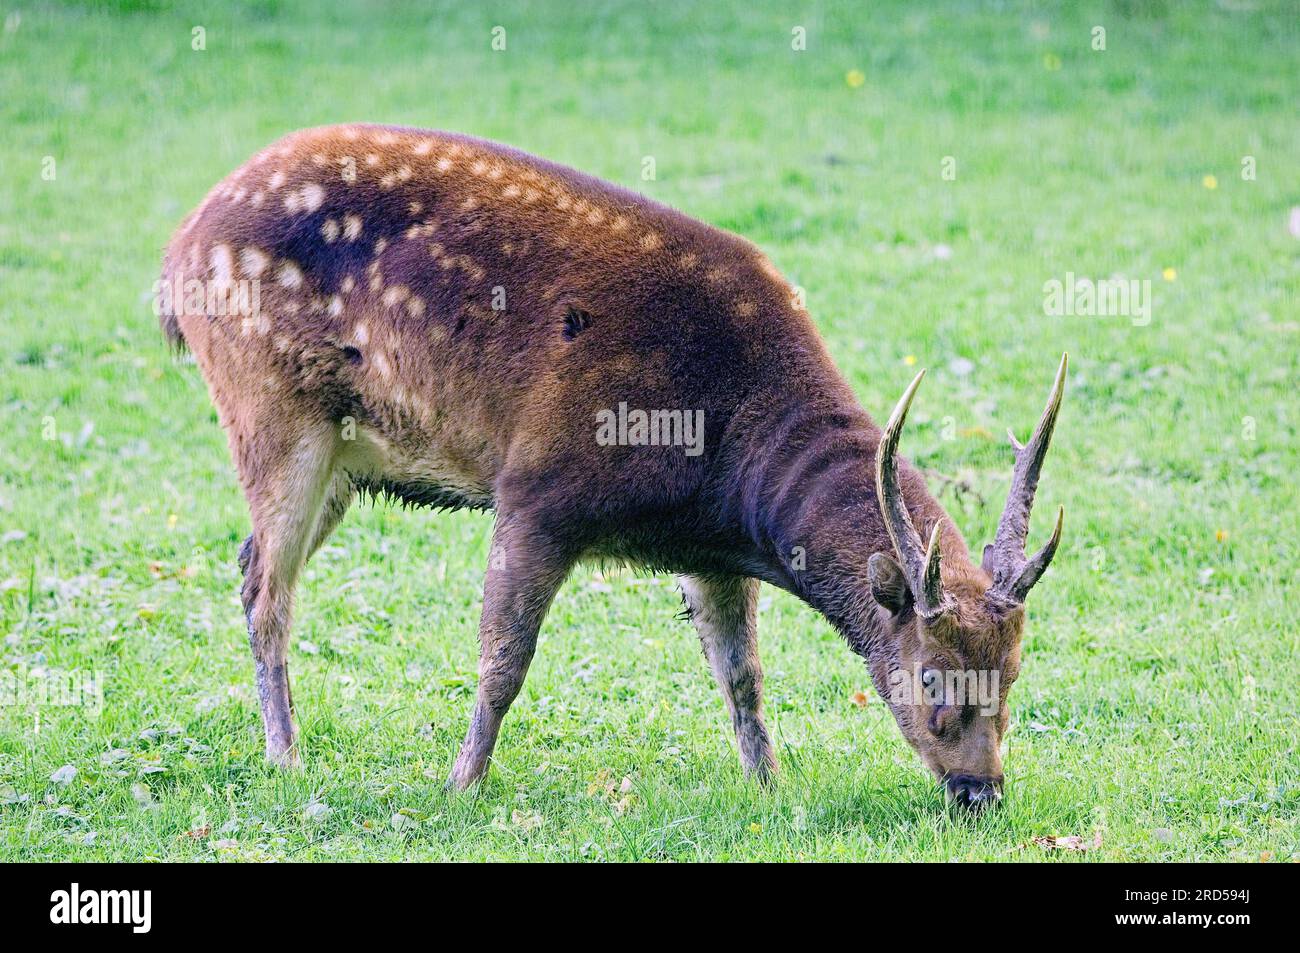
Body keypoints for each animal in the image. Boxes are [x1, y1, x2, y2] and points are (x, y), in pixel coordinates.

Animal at [159, 124, 1066, 809]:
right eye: (934, 682)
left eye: (1016, 673)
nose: (981, 792)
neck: (726, 477)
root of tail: (173, 261)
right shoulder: (538, 488)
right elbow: (503, 661)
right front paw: (459, 786)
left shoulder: (708, 554)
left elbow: (743, 676)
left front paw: (772, 787)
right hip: (271, 406)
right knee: (268, 591)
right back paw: (286, 757)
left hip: (346, 461)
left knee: (246, 560)